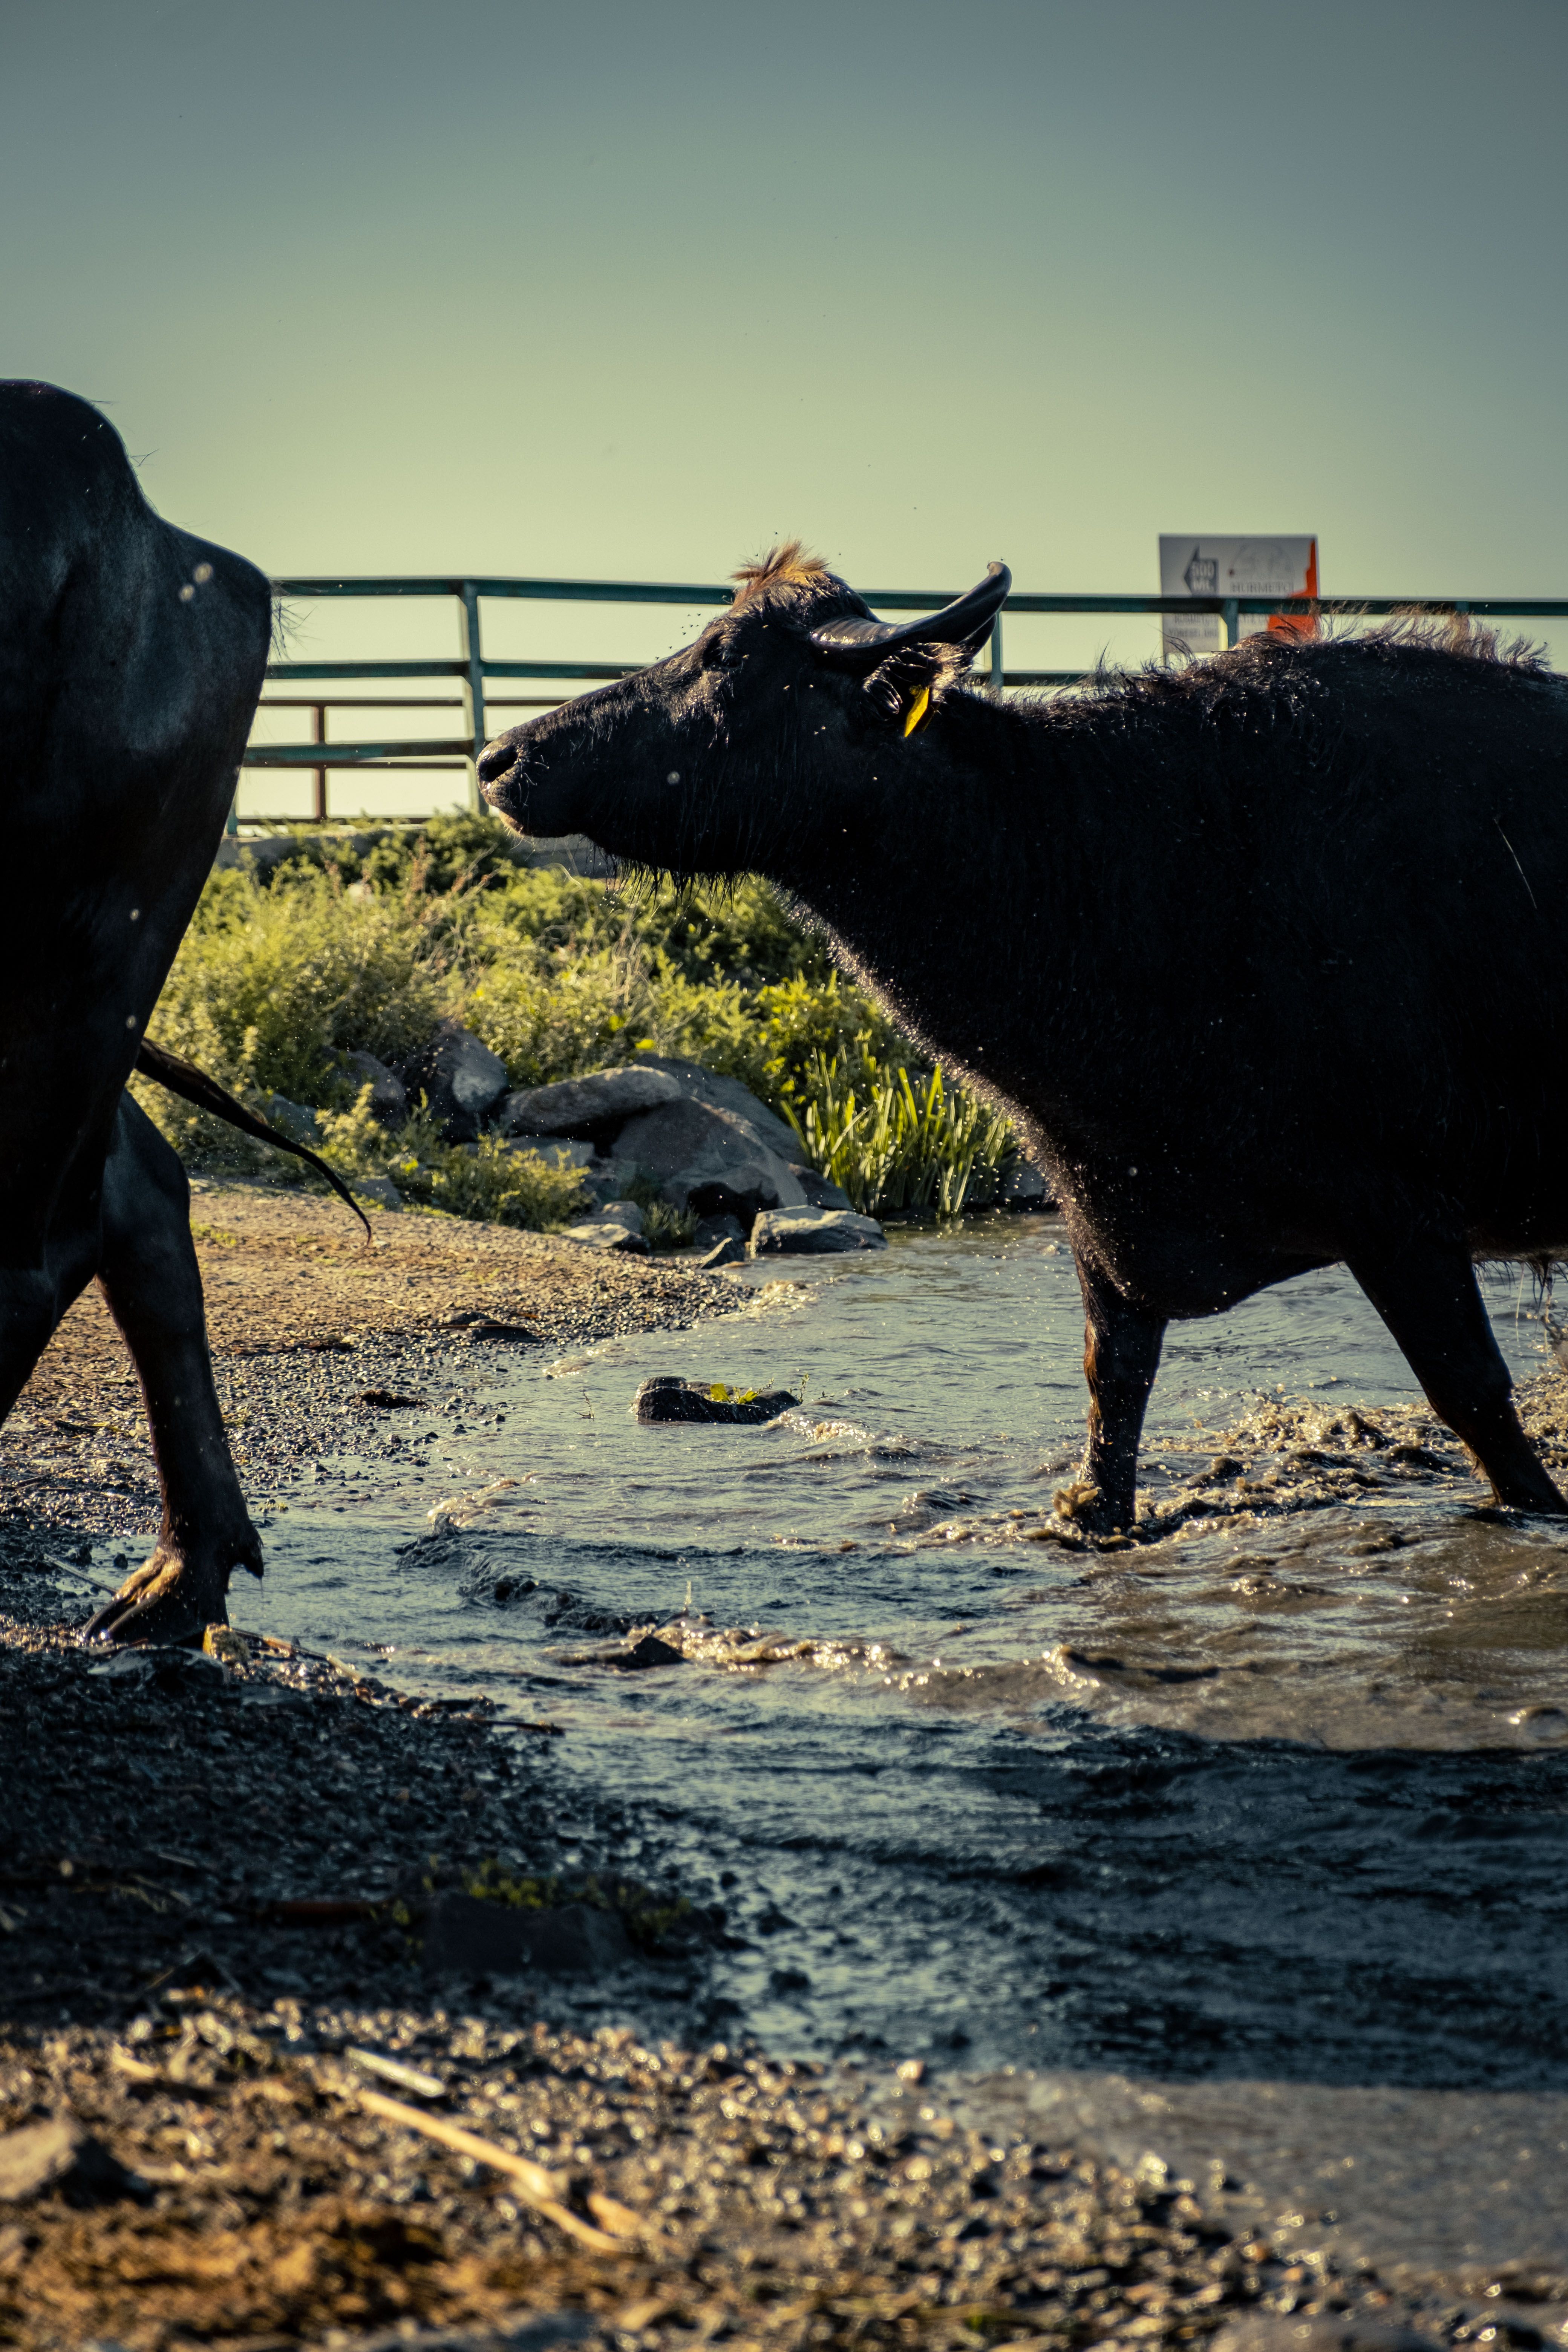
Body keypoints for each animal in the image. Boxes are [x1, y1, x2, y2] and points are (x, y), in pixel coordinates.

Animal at [478, 542, 1568, 1532]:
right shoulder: (1110, 1228)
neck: (1136, 866)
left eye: (721, 654)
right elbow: (1109, 1405)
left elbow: (1479, 1406)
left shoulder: (1401, 1217)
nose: (499, 758)